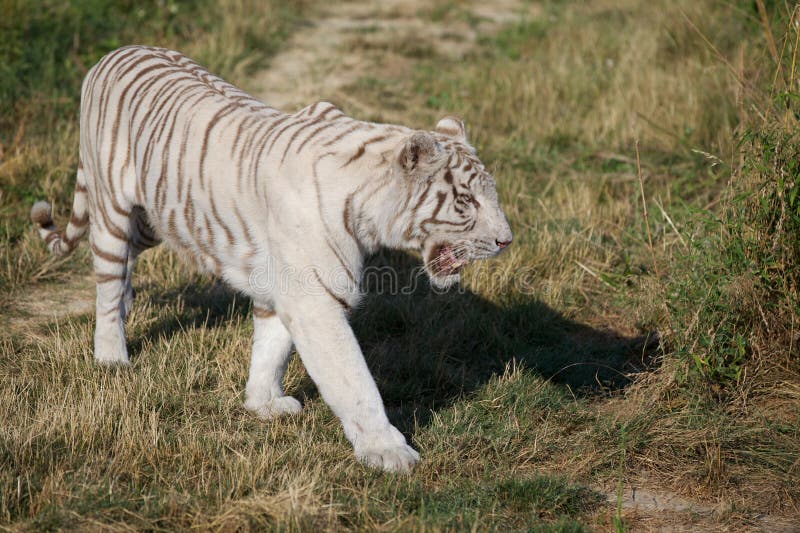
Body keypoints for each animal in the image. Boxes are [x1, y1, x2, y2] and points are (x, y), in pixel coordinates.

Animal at [31, 45, 513, 473]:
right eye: (466, 201)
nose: (507, 241)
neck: (368, 211)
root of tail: (111, 54)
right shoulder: (316, 298)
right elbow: (354, 380)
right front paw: (388, 452)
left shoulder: (286, 284)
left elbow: (272, 347)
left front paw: (261, 403)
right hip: (113, 209)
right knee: (108, 283)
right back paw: (111, 356)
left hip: (155, 217)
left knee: (127, 271)